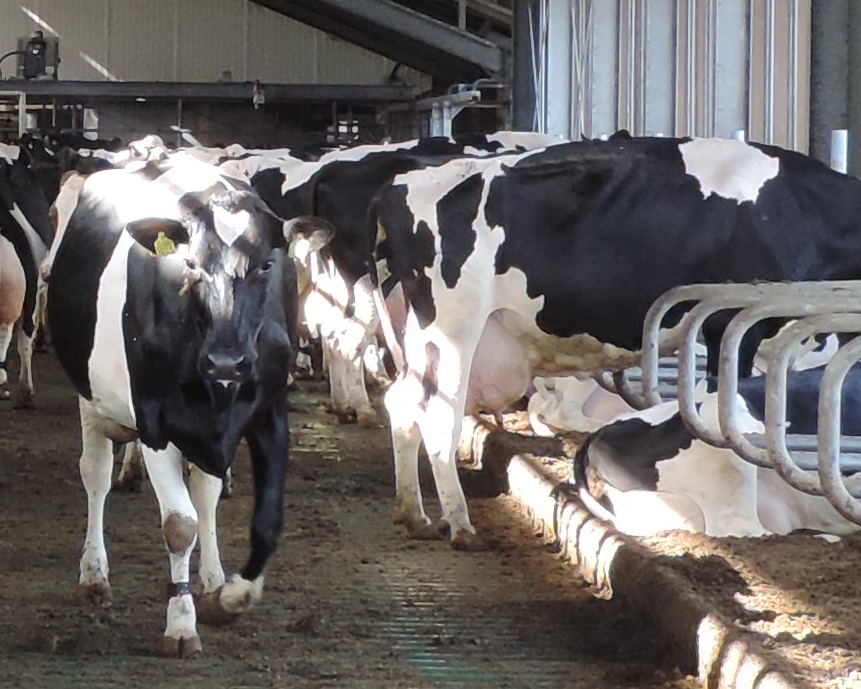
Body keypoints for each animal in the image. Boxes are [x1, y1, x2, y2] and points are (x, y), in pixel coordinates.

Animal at [46, 151, 301, 656]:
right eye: (189, 263)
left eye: (266, 264)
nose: (226, 362)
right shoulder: (156, 421)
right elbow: (179, 525)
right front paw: (181, 624)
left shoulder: (270, 414)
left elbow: (266, 522)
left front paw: (231, 595)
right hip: (90, 398)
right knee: (95, 476)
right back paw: (94, 575)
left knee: (206, 492)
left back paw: (212, 578)